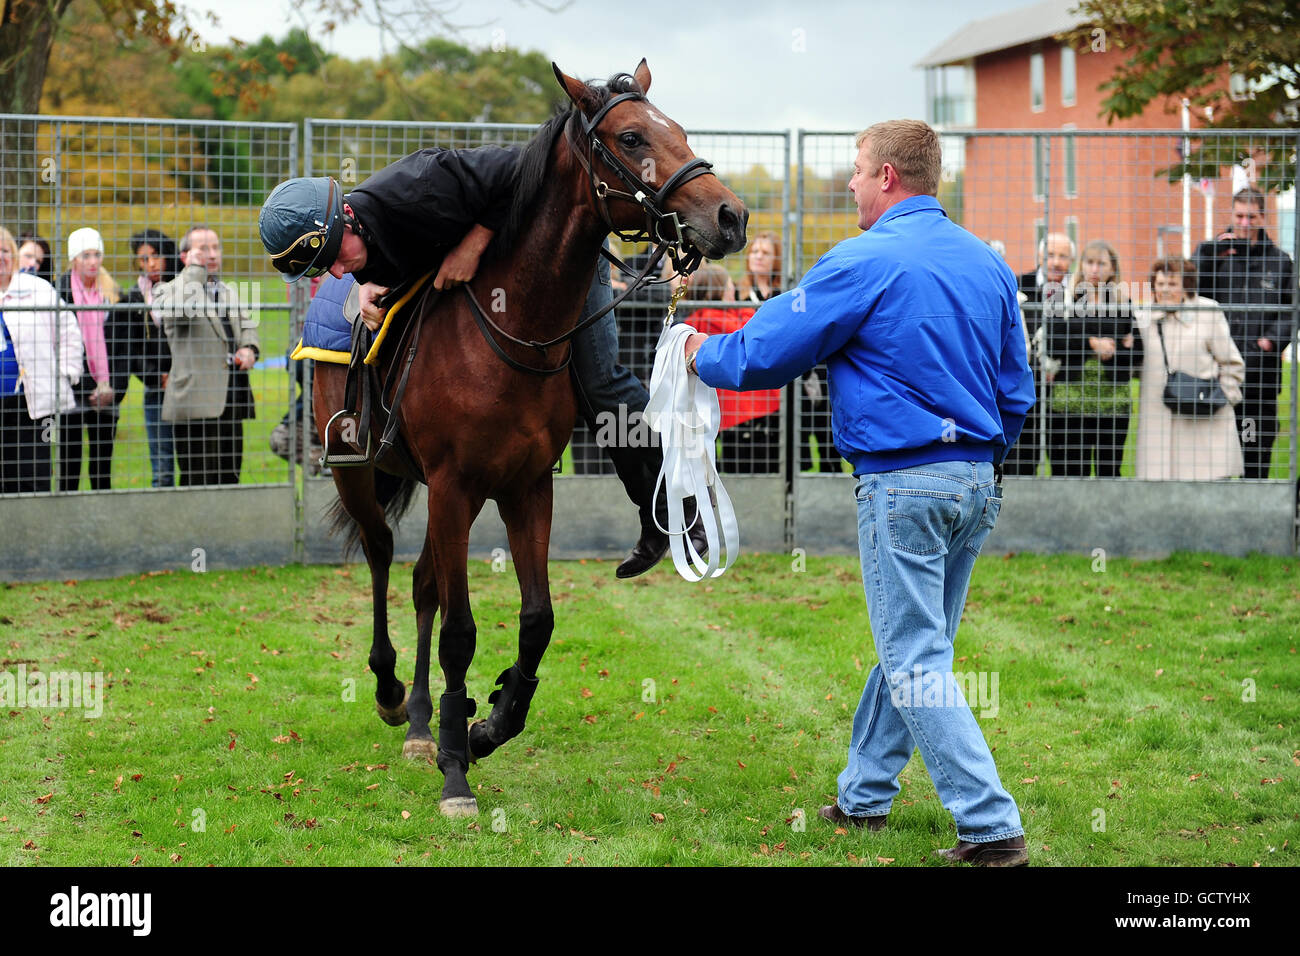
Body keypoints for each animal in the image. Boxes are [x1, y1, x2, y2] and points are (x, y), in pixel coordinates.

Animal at [312, 60, 748, 817]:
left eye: (677, 129)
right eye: (631, 137)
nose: (729, 216)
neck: (511, 323)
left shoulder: (524, 487)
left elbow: (537, 618)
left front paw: (489, 723)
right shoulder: (455, 486)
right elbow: (460, 632)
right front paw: (457, 769)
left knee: (423, 583)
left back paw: (422, 721)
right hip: (359, 472)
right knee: (381, 555)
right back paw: (393, 692)